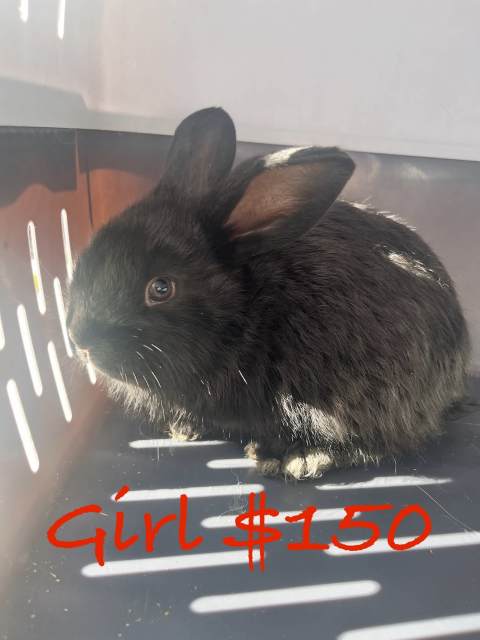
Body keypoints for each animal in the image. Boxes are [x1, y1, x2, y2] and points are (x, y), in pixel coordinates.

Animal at [67, 107, 470, 480]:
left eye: (161, 288)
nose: (80, 341)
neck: (244, 309)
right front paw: (184, 428)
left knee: (380, 442)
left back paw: (297, 457)